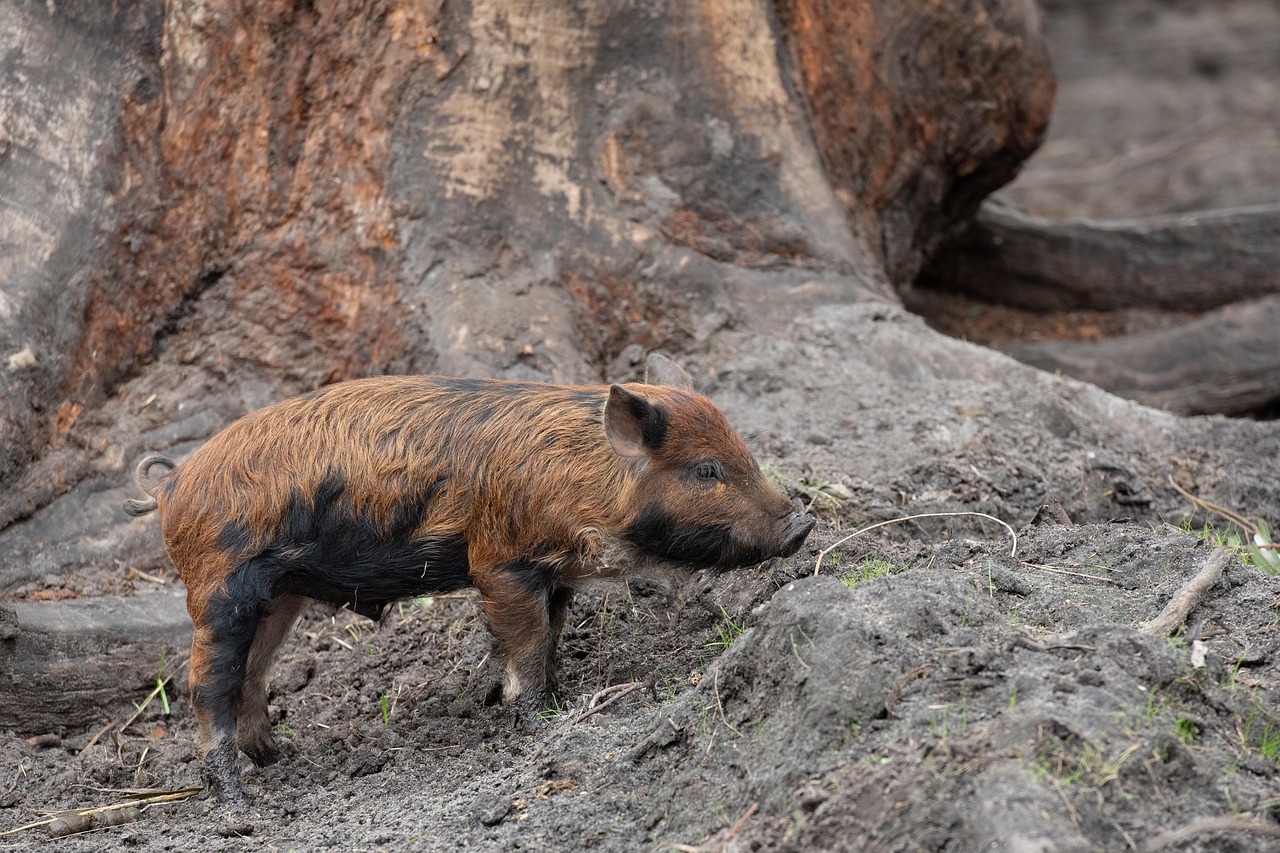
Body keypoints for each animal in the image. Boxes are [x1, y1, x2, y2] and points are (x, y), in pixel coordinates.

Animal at [125, 353, 815, 804]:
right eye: (705, 471)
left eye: (740, 452)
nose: (802, 521)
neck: (588, 479)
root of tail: (173, 483)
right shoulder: (501, 562)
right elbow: (525, 648)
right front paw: (537, 719)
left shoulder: (555, 574)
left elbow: (549, 640)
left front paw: (548, 699)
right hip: (221, 587)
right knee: (207, 684)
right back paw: (238, 801)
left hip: (281, 596)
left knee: (253, 674)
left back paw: (281, 758)